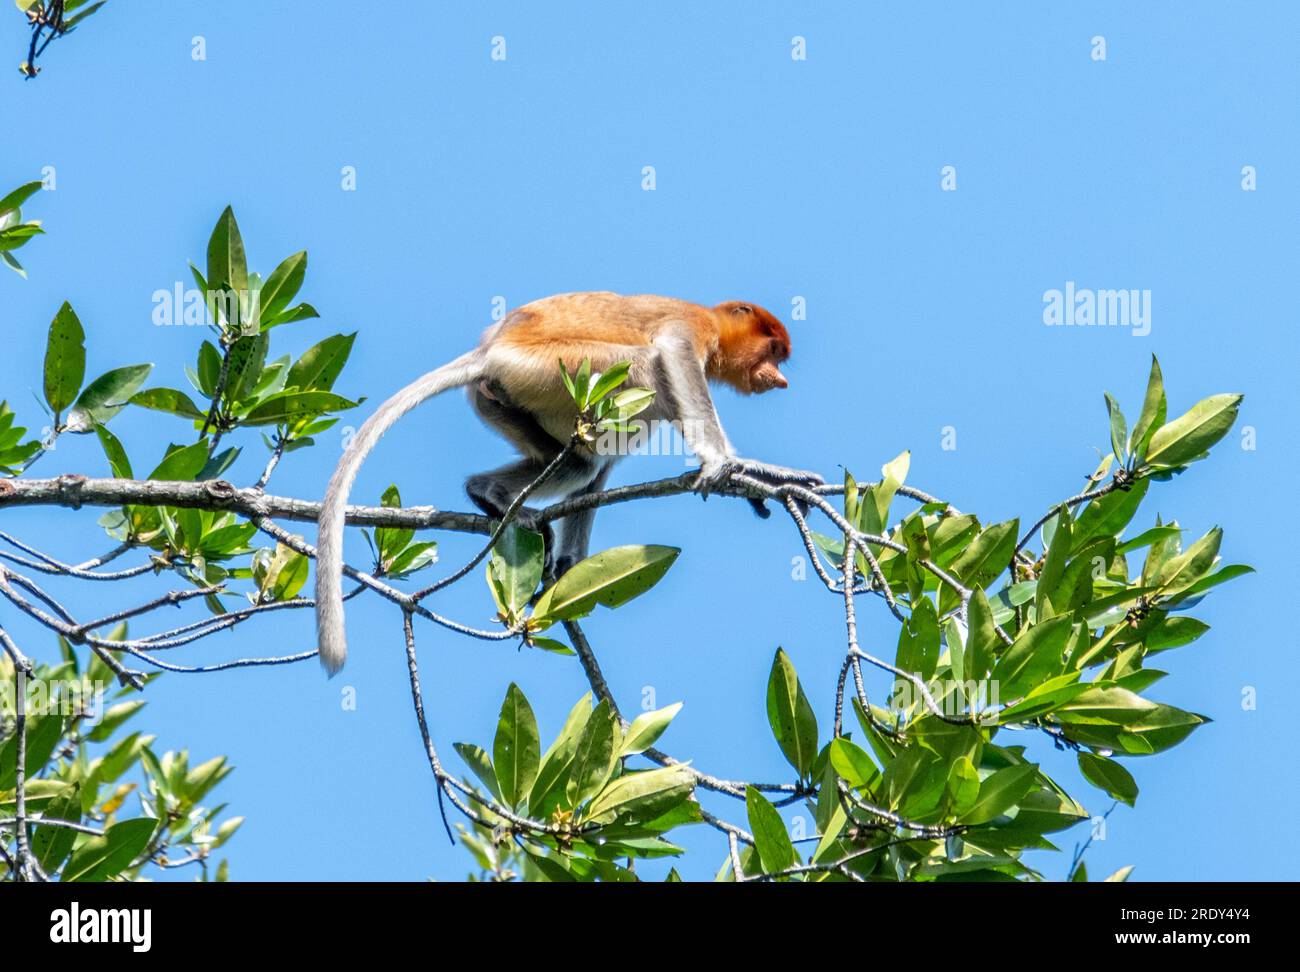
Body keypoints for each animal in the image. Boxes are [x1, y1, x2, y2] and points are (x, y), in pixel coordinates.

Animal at [315, 292, 823, 675]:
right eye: (773, 352)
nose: (778, 379)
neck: (712, 320)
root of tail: (489, 351)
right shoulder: (693, 328)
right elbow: (673, 357)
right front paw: (733, 466)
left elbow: (597, 471)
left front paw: (569, 567)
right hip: (554, 368)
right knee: (648, 373)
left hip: (501, 399)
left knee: (582, 465)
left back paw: (494, 499)